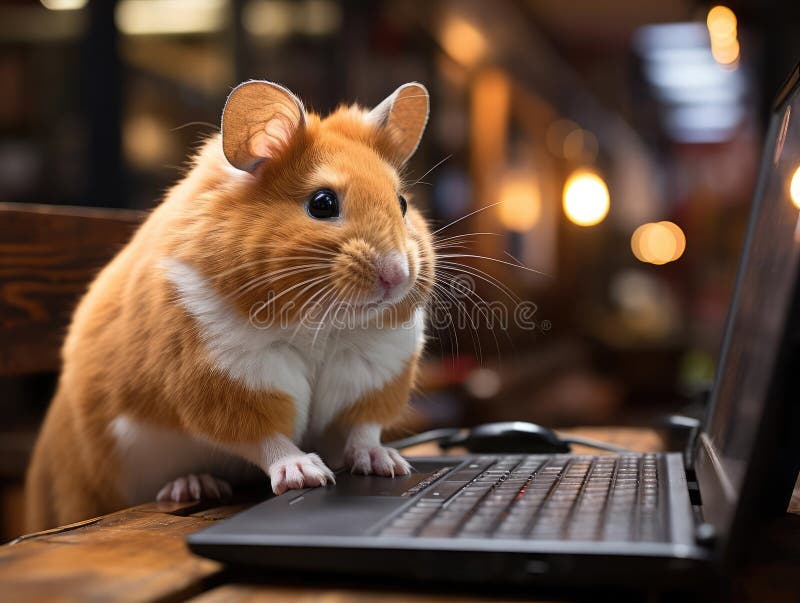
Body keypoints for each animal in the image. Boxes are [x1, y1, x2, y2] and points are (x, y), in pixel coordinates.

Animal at [25, 81, 435, 532]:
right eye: (323, 203)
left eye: (402, 203)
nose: (397, 276)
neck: (323, 326)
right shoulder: (230, 378)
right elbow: (266, 438)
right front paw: (307, 474)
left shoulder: (376, 371)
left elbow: (363, 428)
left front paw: (391, 464)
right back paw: (194, 485)